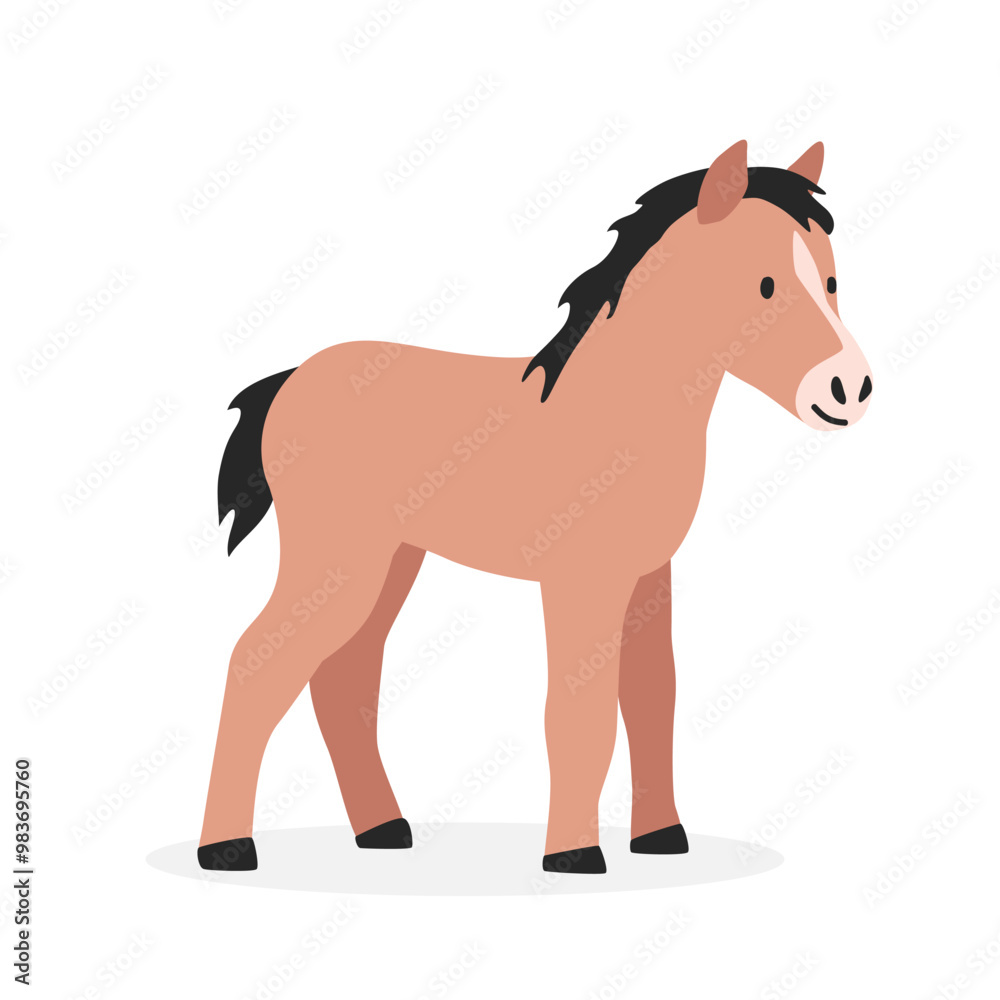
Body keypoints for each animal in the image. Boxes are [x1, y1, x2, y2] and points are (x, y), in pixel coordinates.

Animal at [197, 139, 872, 876]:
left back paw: (382, 829)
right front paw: (573, 855)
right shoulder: (581, 583)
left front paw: (661, 839)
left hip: (388, 563)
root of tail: (290, 380)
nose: (848, 388)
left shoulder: (646, 578)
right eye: (766, 285)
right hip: (338, 563)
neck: (619, 413)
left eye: (832, 281)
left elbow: (651, 699)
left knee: (343, 680)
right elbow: (581, 712)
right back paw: (226, 848)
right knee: (256, 664)